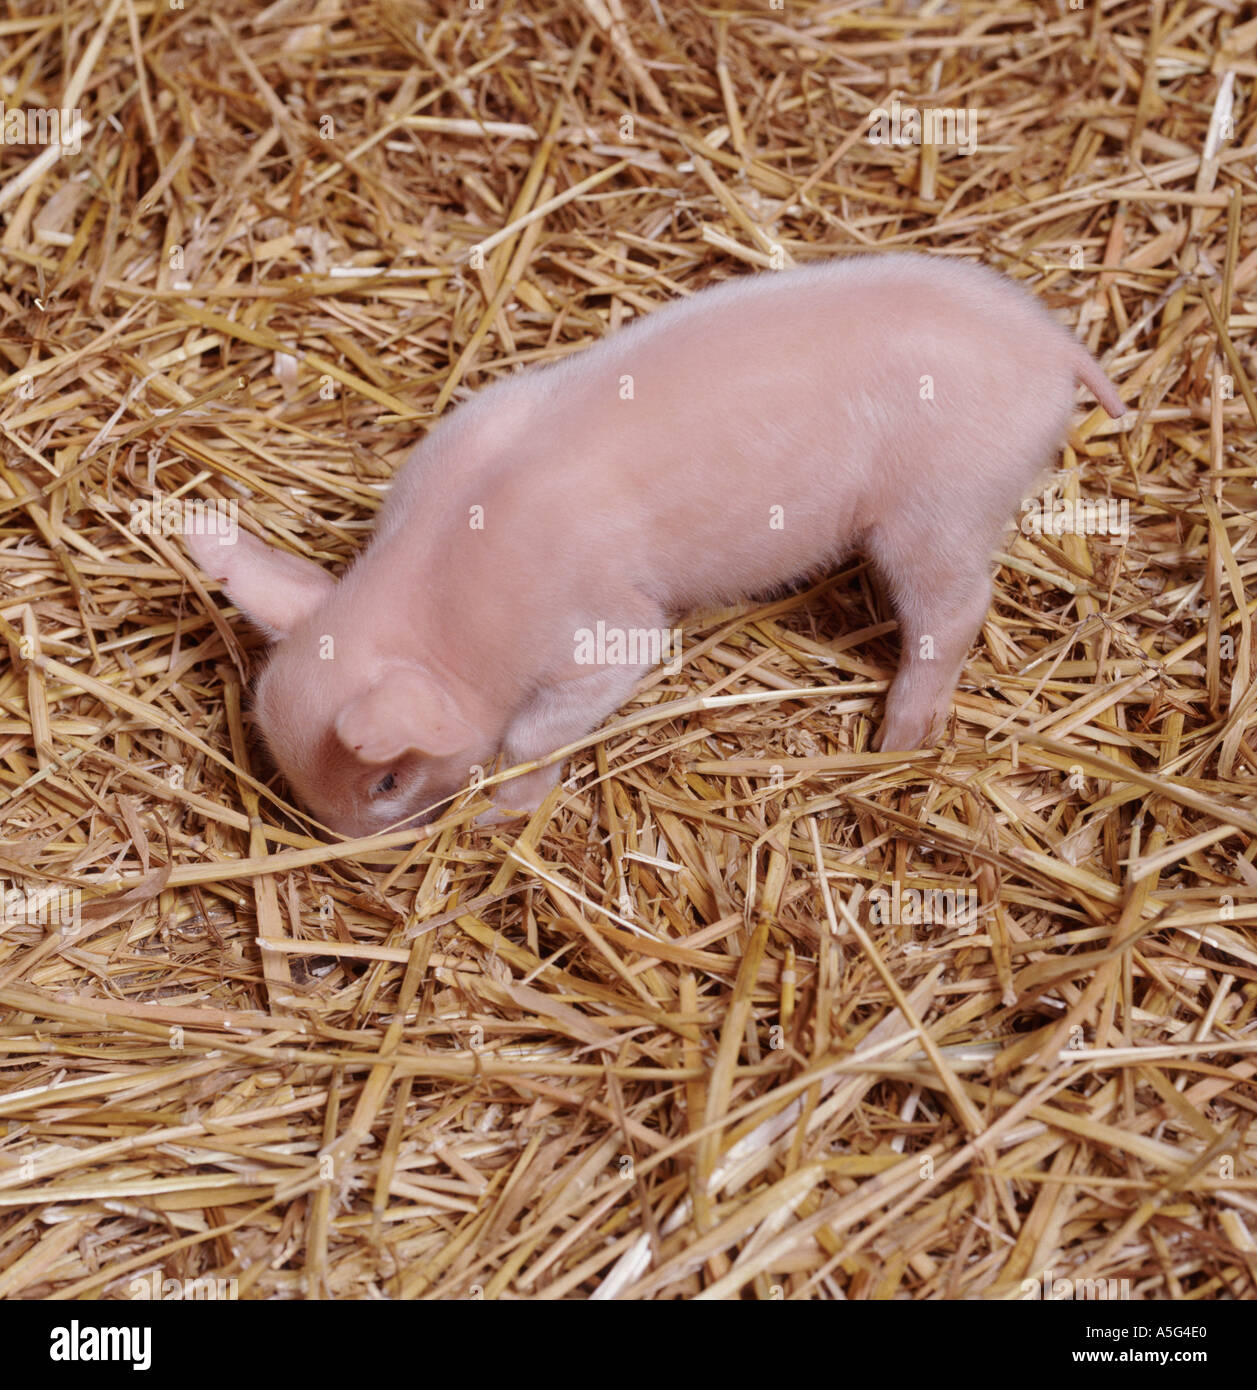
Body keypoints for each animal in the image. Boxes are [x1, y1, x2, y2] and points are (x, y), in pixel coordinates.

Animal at [184, 252, 1125, 838]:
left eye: (384, 780)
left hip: (941, 505)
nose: (355, 848)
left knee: (957, 609)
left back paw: (895, 740)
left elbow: (538, 729)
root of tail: (1054, 347)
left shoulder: (604, 630)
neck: (445, 604)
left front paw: (498, 815)